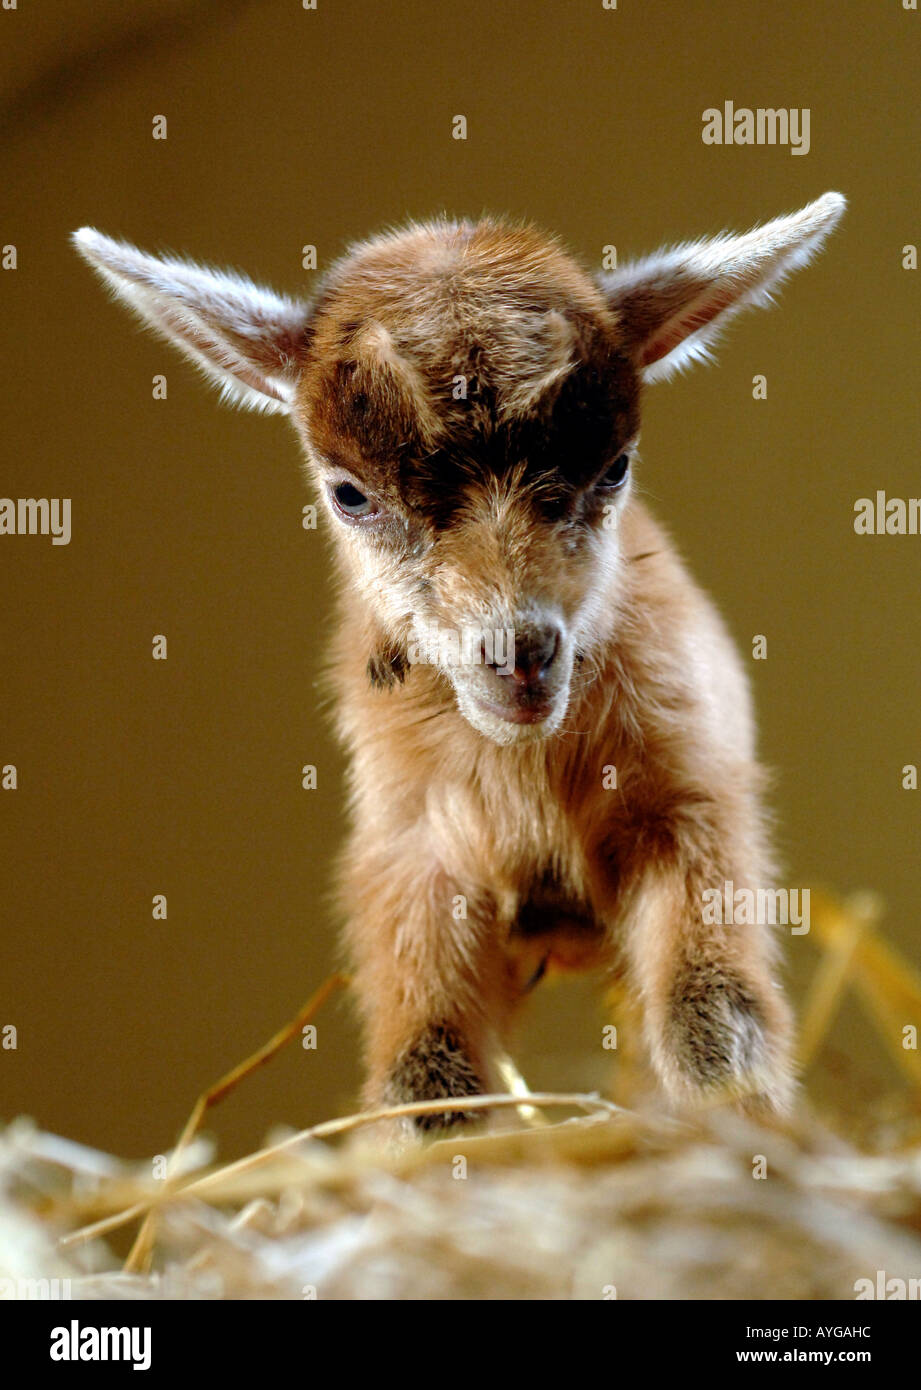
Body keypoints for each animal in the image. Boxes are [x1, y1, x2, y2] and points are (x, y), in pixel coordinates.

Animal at [73, 192, 845, 1126]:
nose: (519, 659)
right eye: (349, 493)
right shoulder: (414, 863)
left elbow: (714, 1020)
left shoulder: (687, 810)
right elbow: (427, 1071)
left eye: (614, 467)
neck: (525, 778)